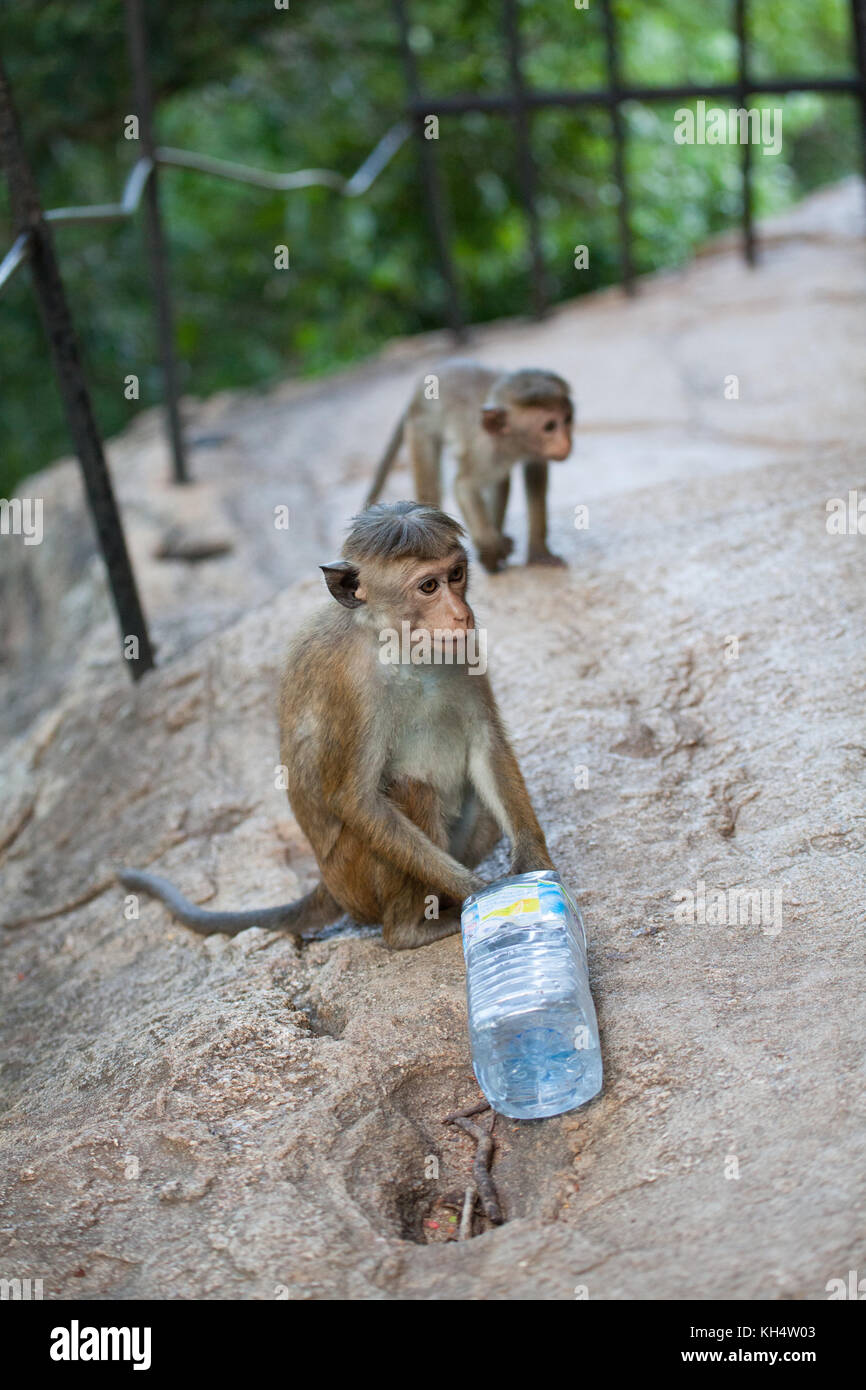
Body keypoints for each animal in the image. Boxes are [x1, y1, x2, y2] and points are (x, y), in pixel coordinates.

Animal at [118, 502, 555, 950]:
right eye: (428, 586)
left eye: (456, 574)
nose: (461, 615)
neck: (394, 642)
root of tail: (328, 884)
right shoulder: (351, 688)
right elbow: (355, 799)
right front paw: (485, 894)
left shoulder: (466, 649)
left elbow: (487, 746)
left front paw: (533, 865)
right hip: (355, 879)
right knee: (411, 790)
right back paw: (412, 928)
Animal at [365, 360, 574, 573]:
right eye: (549, 426)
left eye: (567, 419)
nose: (566, 443)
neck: (510, 442)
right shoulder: (484, 451)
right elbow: (464, 486)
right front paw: (490, 551)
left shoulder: (533, 451)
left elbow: (535, 477)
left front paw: (539, 553)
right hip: (420, 426)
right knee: (431, 487)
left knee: (500, 480)